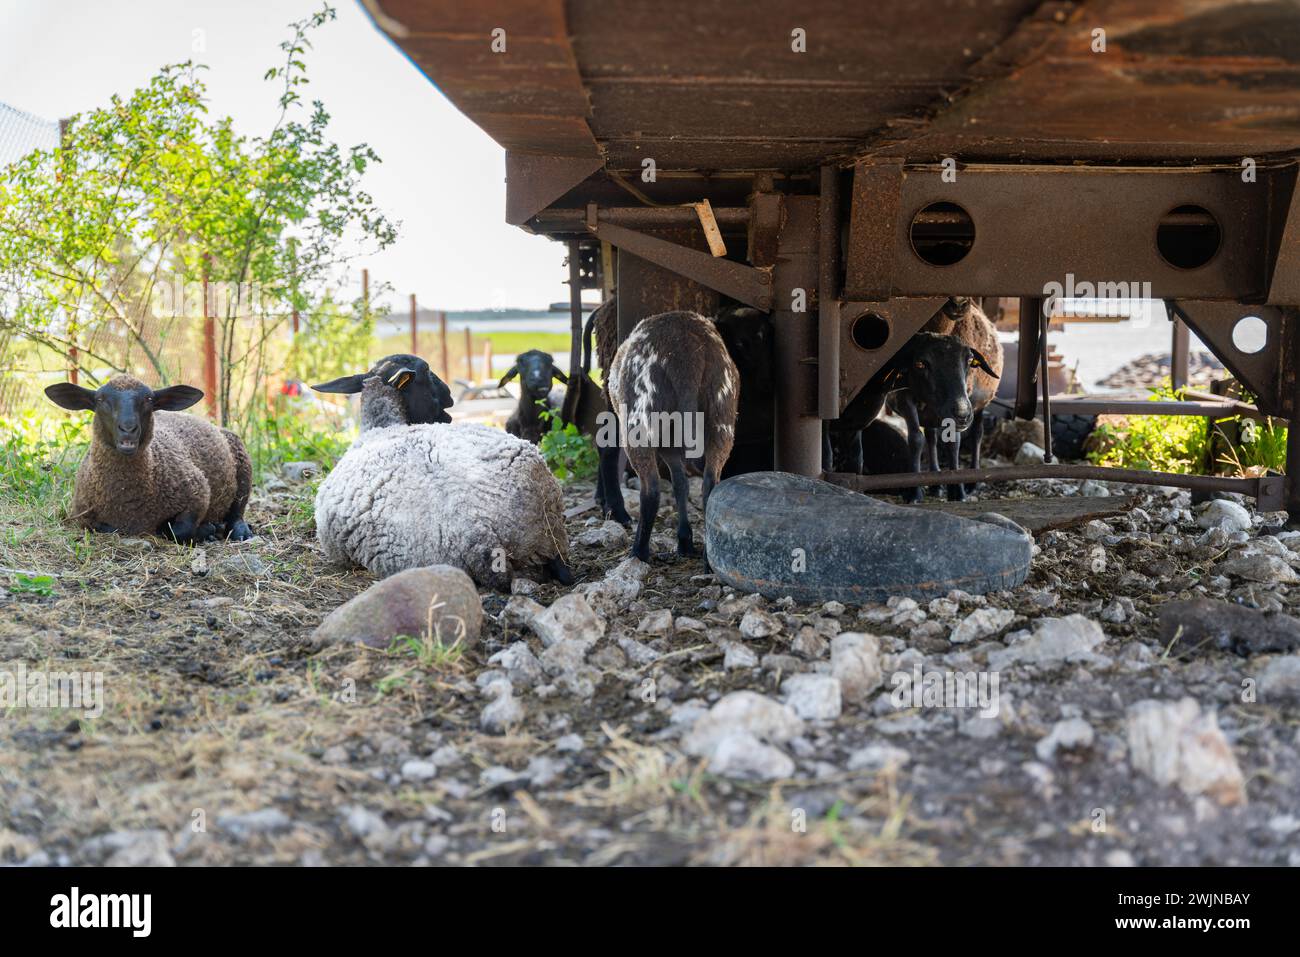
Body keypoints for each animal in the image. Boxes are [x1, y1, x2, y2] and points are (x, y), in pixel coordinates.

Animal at [43, 374, 252, 543]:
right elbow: (108, 528)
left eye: (149, 399)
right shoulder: (83, 515)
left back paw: (240, 532)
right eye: (100, 399)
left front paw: (207, 529)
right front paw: (207, 530)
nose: (128, 428)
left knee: (237, 510)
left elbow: (179, 531)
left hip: (242, 465)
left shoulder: (198, 493)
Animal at [603, 310, 739, 562]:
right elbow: (680, 483)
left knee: (651, 490)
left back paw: (638, 553)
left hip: (641, 417)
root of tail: (687, 353)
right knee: (709, 484)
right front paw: (685, 540)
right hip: (722, 414)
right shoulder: (672, 445)